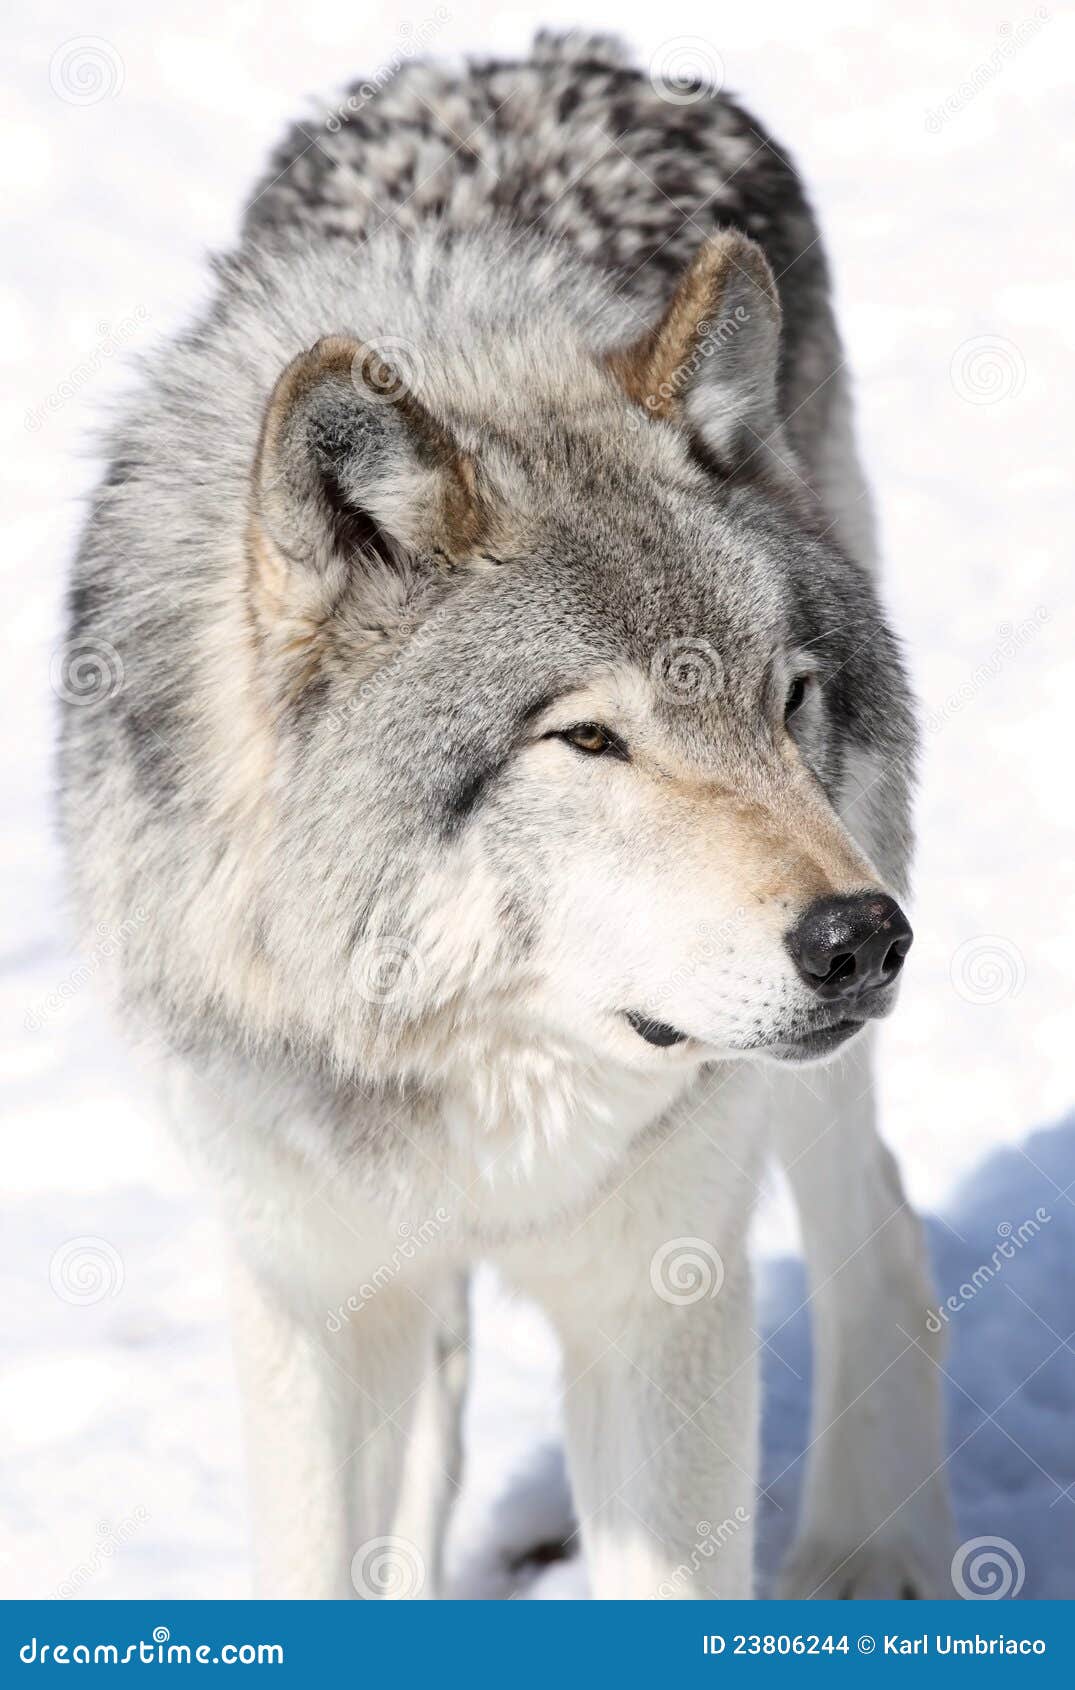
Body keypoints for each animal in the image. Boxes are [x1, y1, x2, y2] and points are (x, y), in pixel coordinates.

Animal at [60, 32, 953, 1598]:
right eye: (587, 738)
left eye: (786, 697)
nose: (861, 940)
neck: (477, 1057)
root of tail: (548, 55)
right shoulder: (306, 1298)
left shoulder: (660, 1299)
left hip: (808, 1078)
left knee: (883, 1226)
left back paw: (867, 1553)